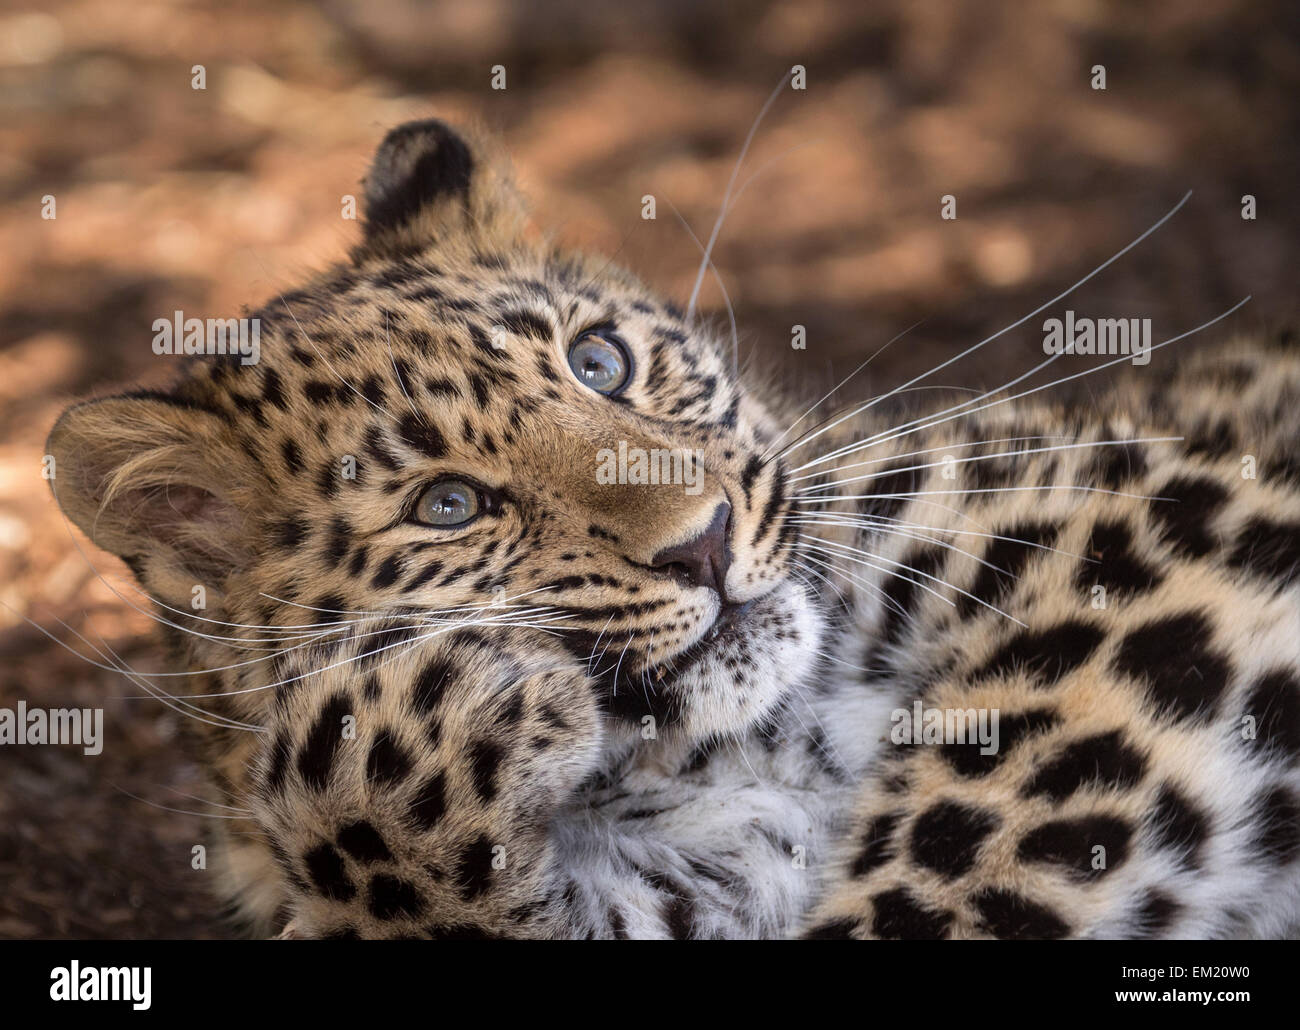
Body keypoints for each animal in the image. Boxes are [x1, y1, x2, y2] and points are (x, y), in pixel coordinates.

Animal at [45, 118, 1300, 939]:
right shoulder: (706, 877)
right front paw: (394, 736)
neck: (730, 746)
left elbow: (954, 850)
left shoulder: (1144, 537)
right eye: (448, 507)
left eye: (600, 361)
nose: (702, 539)